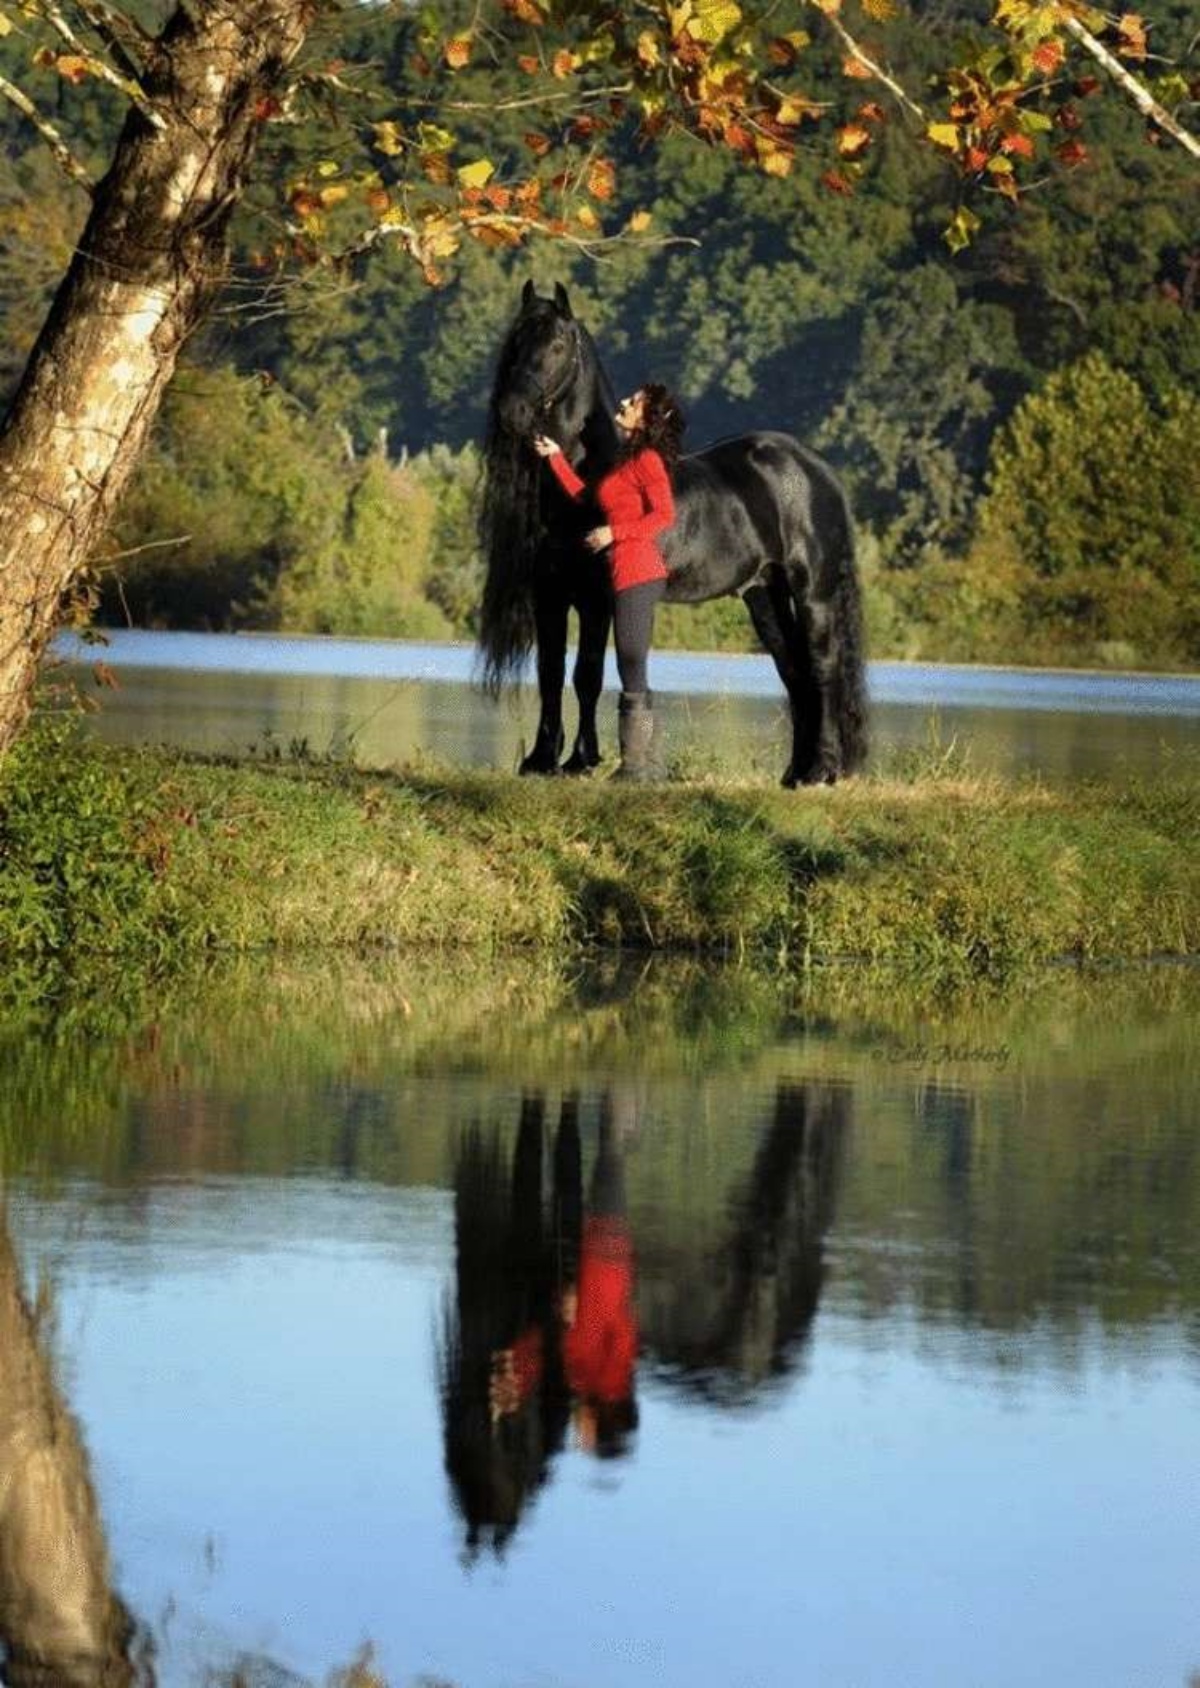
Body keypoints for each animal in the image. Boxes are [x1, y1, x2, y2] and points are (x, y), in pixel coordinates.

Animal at [478, 280, 868, 787]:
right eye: (516, 343)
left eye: (558, 345)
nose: (513, 411)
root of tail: (817, 468)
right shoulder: (550, 596)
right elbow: (550, 673)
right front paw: (541, 759)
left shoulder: (598, 598)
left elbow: (587, 674)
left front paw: (581, 760)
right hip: (764, 594)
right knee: (794, 671)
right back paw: (794, 773)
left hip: (813, 593)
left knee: (823, 670)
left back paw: (821, 770)